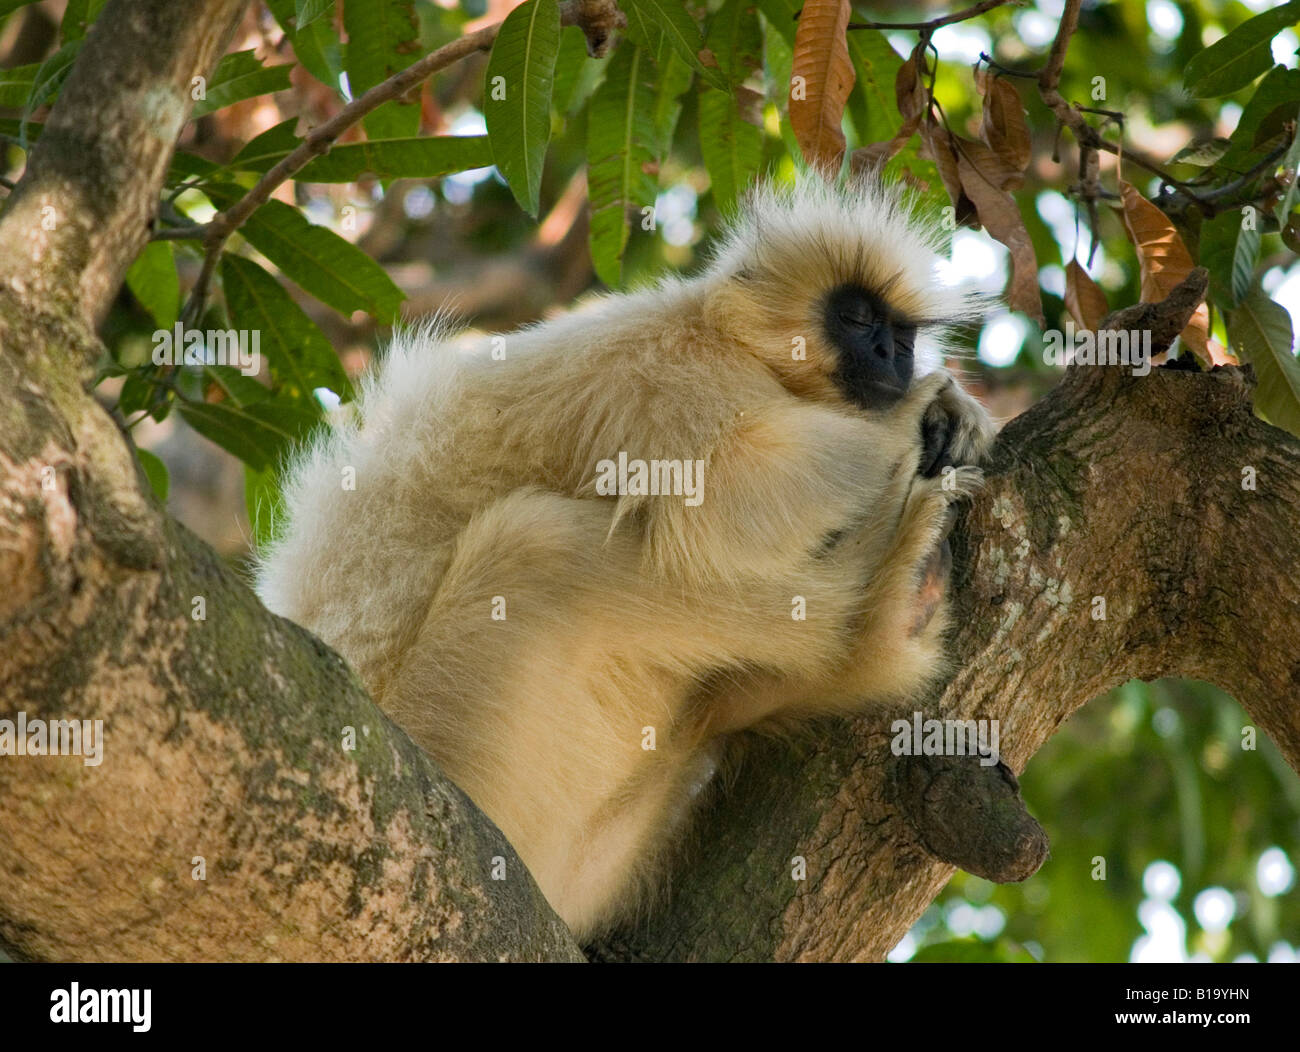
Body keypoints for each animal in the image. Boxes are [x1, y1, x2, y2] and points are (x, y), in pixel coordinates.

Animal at [254, 176, 996, 941]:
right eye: (856, 317)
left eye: (903, 334)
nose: (892, 357)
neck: (722, 335)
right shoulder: (665, 370)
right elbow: (730, 495)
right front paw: (924, 408)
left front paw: (955, 410)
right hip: (467, 773)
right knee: (538, 545)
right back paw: (882, 618)